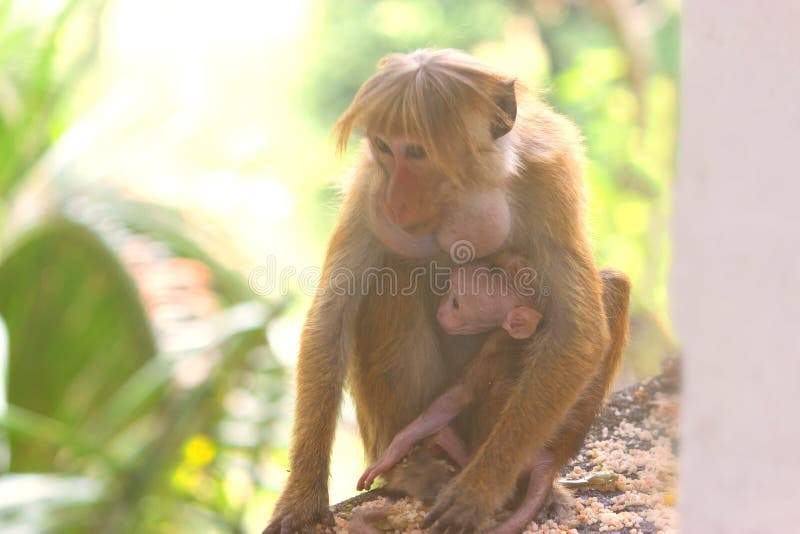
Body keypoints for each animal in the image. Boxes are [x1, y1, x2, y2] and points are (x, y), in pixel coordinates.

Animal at [263, 49, 631, 534]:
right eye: (385, 147)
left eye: (417, 152)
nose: (397, 202)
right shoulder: (370, 182)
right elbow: (331, 317)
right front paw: (302, 498)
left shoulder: (550, 175)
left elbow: (579, 331)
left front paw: (480, 489)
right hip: (387, 429)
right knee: (393, 273)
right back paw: (415, 467)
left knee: (611, 287)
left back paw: (539, 475)